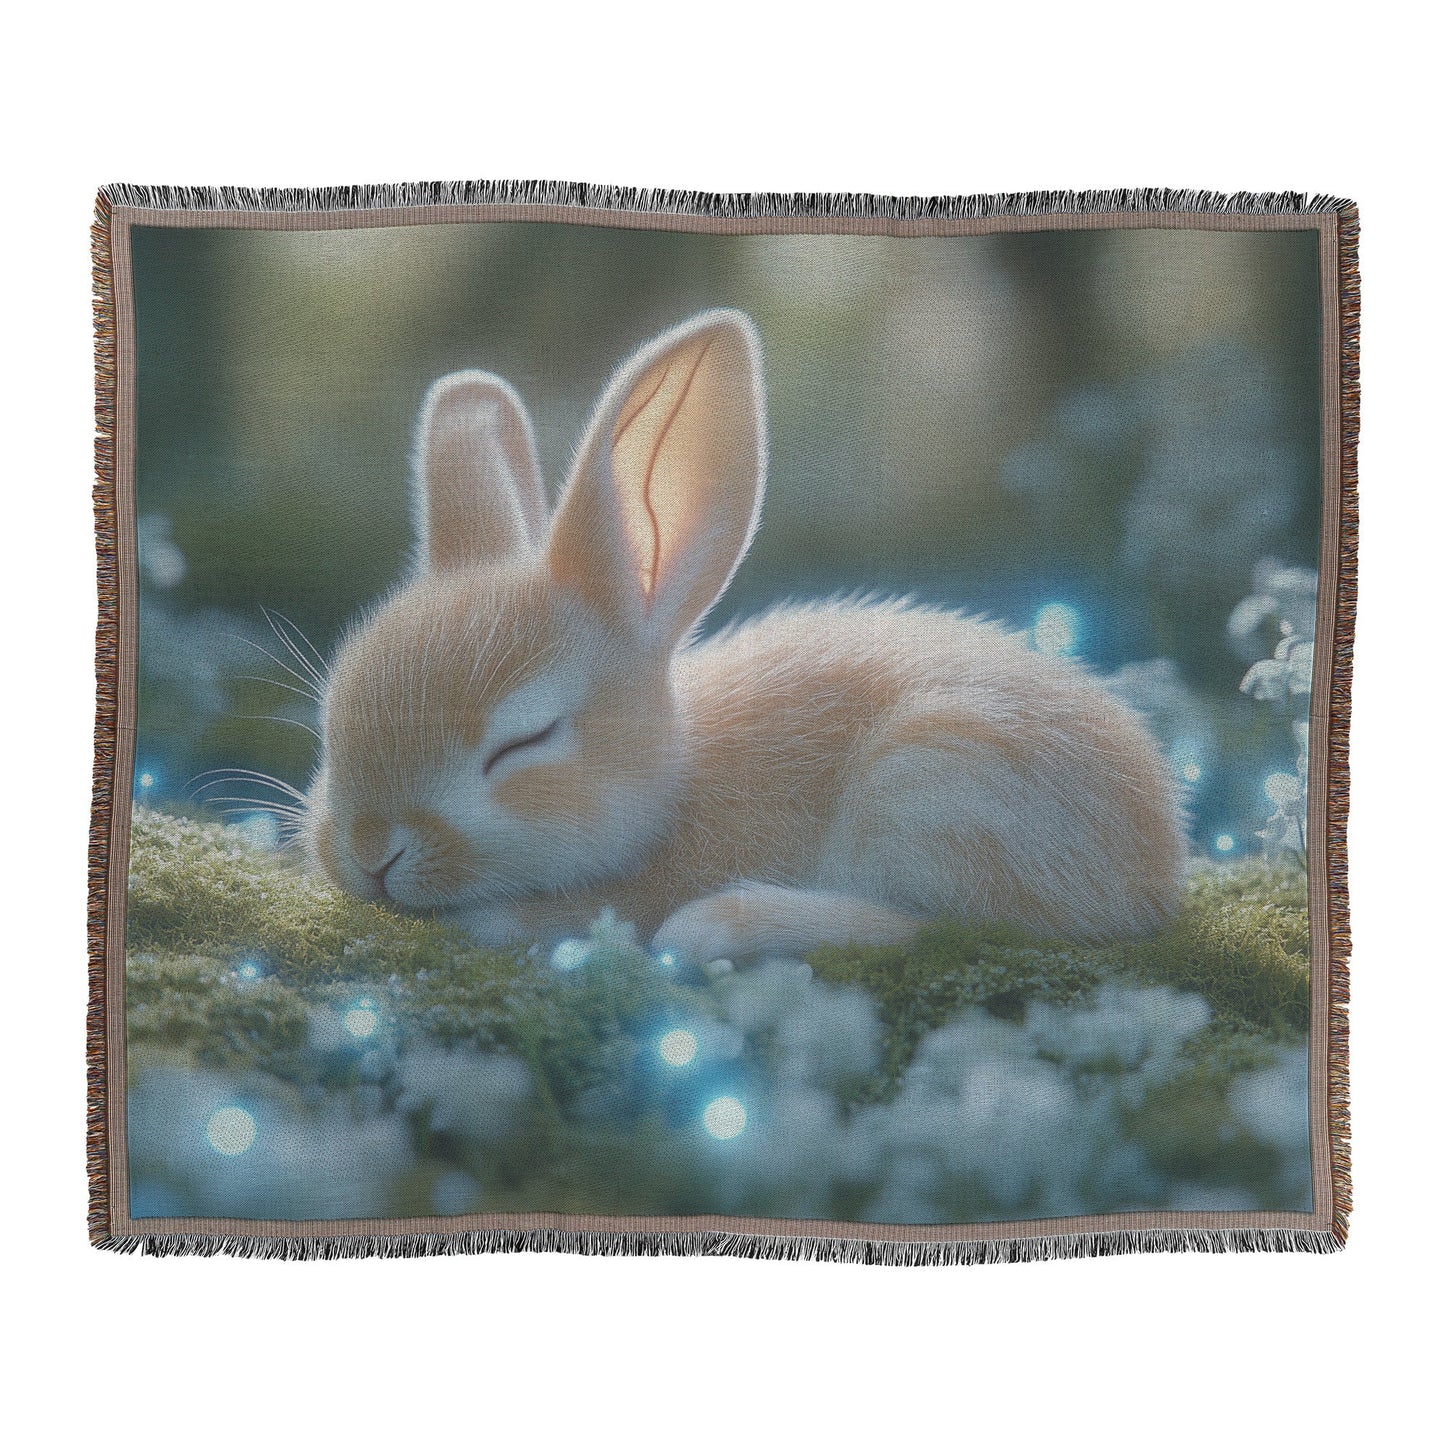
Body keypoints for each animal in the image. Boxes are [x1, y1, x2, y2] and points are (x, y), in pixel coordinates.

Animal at [304, 308, 1186, 965]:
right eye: (330, 722)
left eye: (525, 740)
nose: (371, 850)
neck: (675, 786)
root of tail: (1155, 861)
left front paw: (500, 923)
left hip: (936, 773)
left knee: (963, 927)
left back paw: (722, 925)